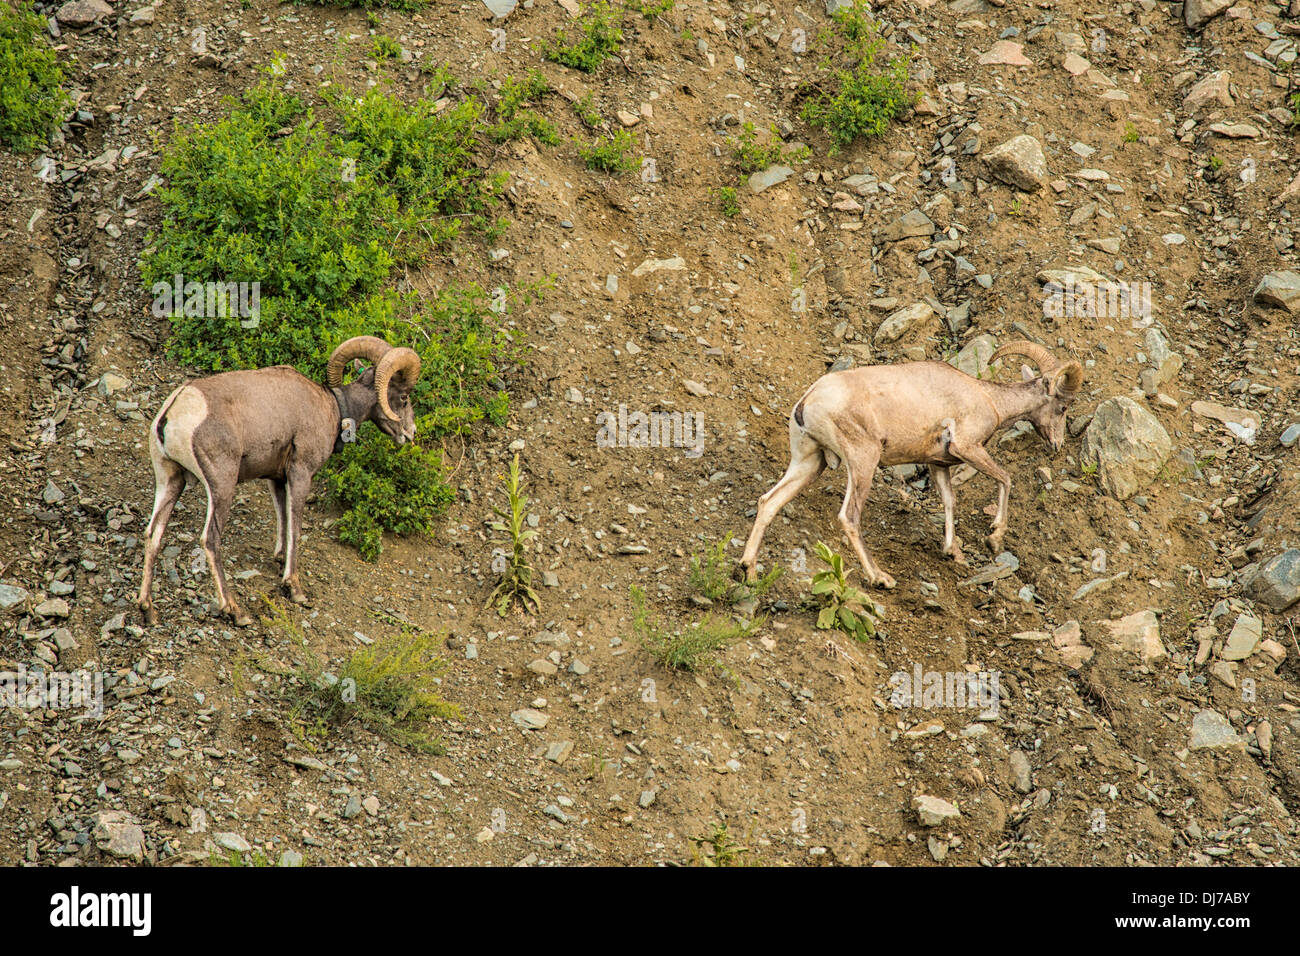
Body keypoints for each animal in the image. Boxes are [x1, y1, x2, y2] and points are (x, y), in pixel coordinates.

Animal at [137, 336, 422, 627]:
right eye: (404, 397)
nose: (410, 433)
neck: (332, 408)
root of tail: (175, 411)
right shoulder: (300, 473)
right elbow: (295, 525)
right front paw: (294, 588)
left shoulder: (276, 479)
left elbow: (282, 519)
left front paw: (279, 560)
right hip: (222, 486)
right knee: (210, 539)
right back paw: (235, 611)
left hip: (170, 481)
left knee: (152, 534)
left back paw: (148, 610)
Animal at [738, 341, 1083, 588]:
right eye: (1063, 407)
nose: (1057, 445)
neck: (988, 399)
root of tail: (808, 400)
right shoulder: (968, 447)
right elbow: (1005, 479)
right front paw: (994, 537)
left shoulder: (938, 464)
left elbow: (949, 501)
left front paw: (953, 552)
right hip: (863, 461)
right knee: (849, 517)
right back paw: (880, 578)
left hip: (809, 463)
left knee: (769, 502)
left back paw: (749, 571)